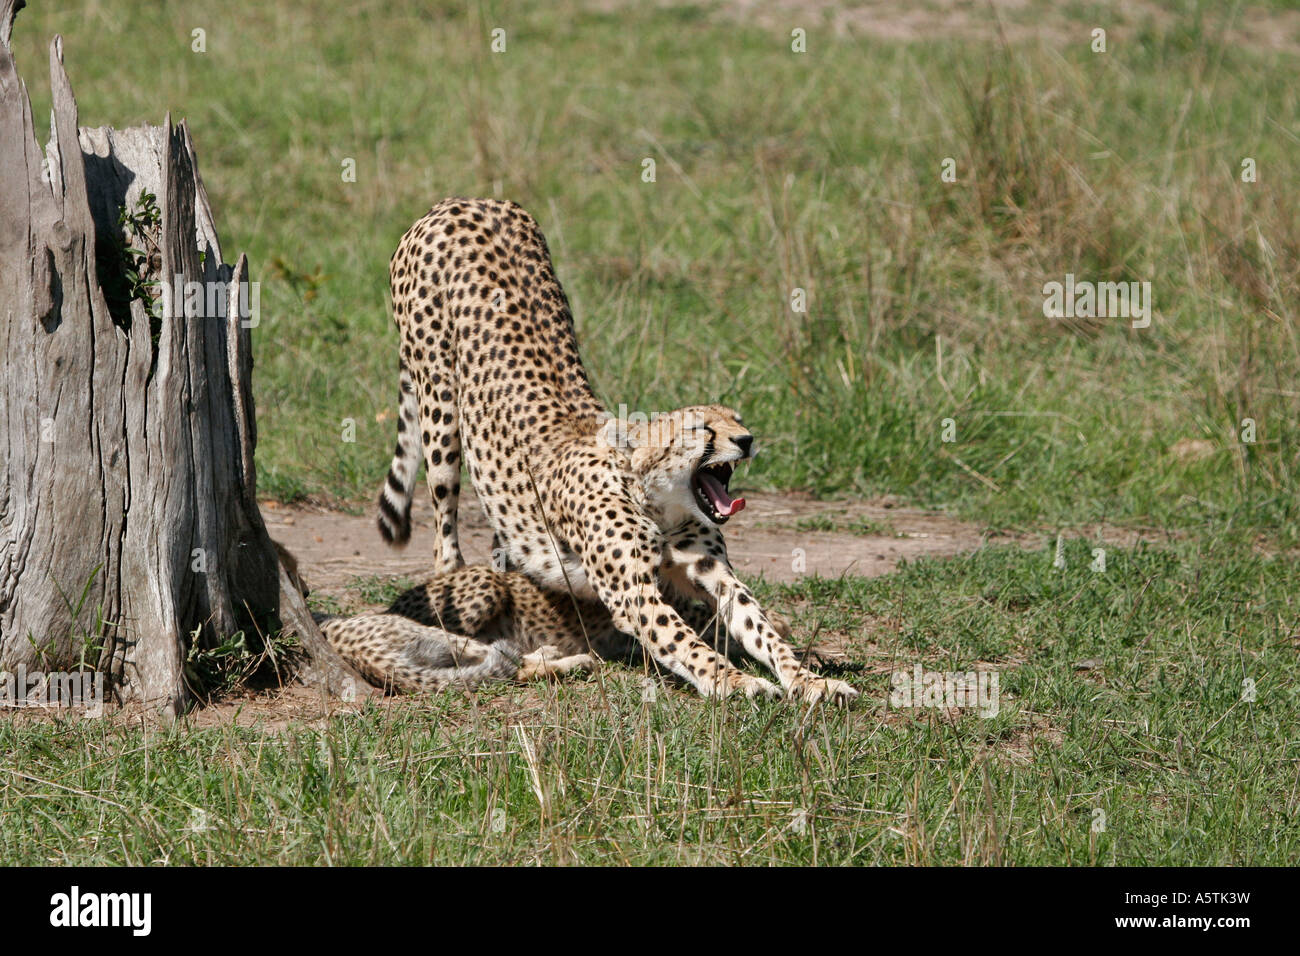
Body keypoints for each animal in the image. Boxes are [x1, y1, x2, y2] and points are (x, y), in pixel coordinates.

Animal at [375, 197, 857, 704]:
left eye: (738, 419)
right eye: (700, 428)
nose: (746, 441)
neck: (658, 503)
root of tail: (463, 202)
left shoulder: (713, 571)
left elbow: (757, 625)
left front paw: (809, 680)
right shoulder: (633, 591)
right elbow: (683, 640)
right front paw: (733, 679)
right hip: (439, 411)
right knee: (443, 533)